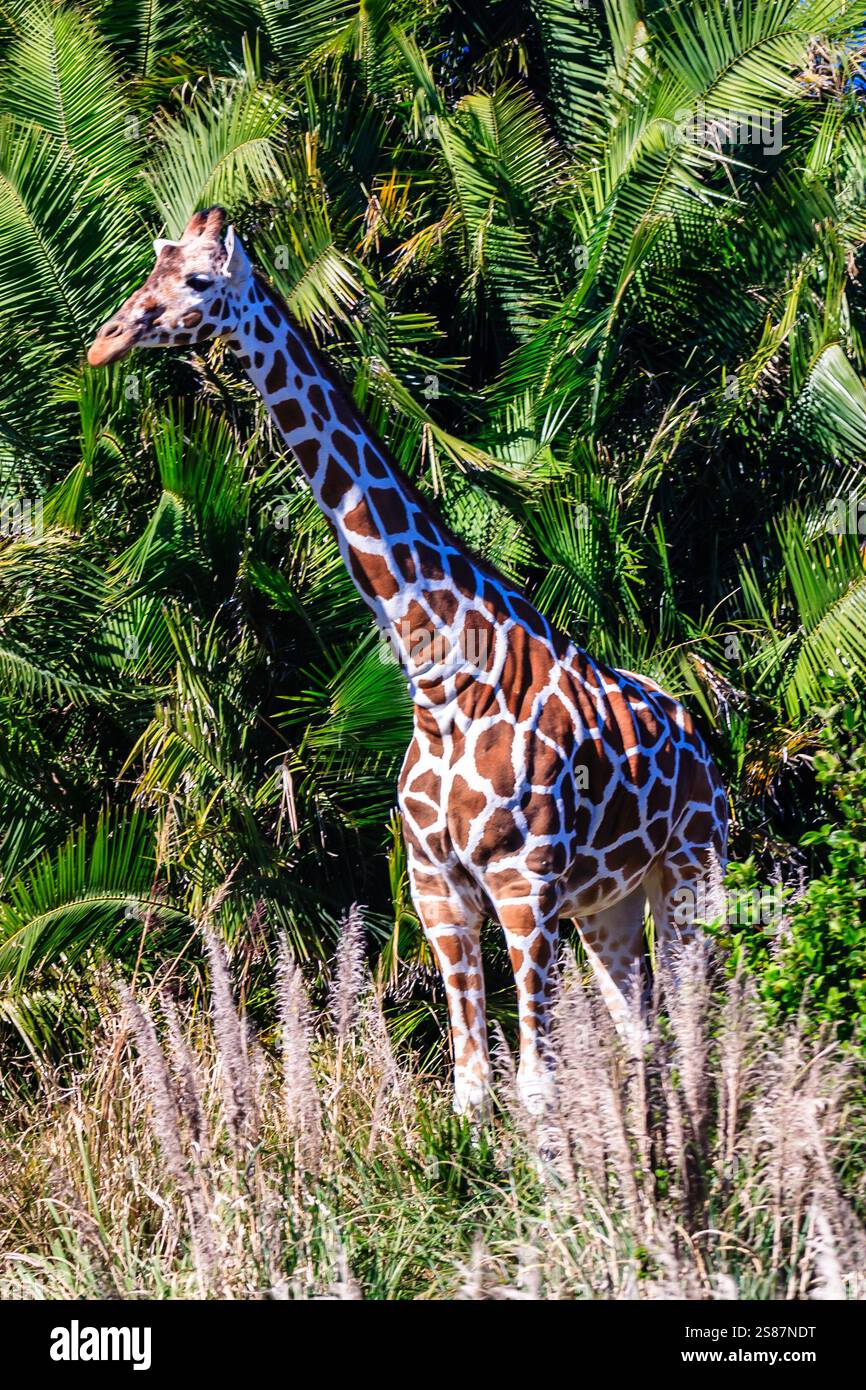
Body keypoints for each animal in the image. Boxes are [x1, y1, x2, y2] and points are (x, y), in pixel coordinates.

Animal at [88, 208, 729, 1117]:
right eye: (153, 265)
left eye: (199, 281)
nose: (105, 341)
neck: (446, 680)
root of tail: (698, 736)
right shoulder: (439, 890)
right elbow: (470, 1091)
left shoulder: (523, 885)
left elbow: (537, 1089)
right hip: (609, 902)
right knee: (645, 1037)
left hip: (690, 872)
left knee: (695, 1027)